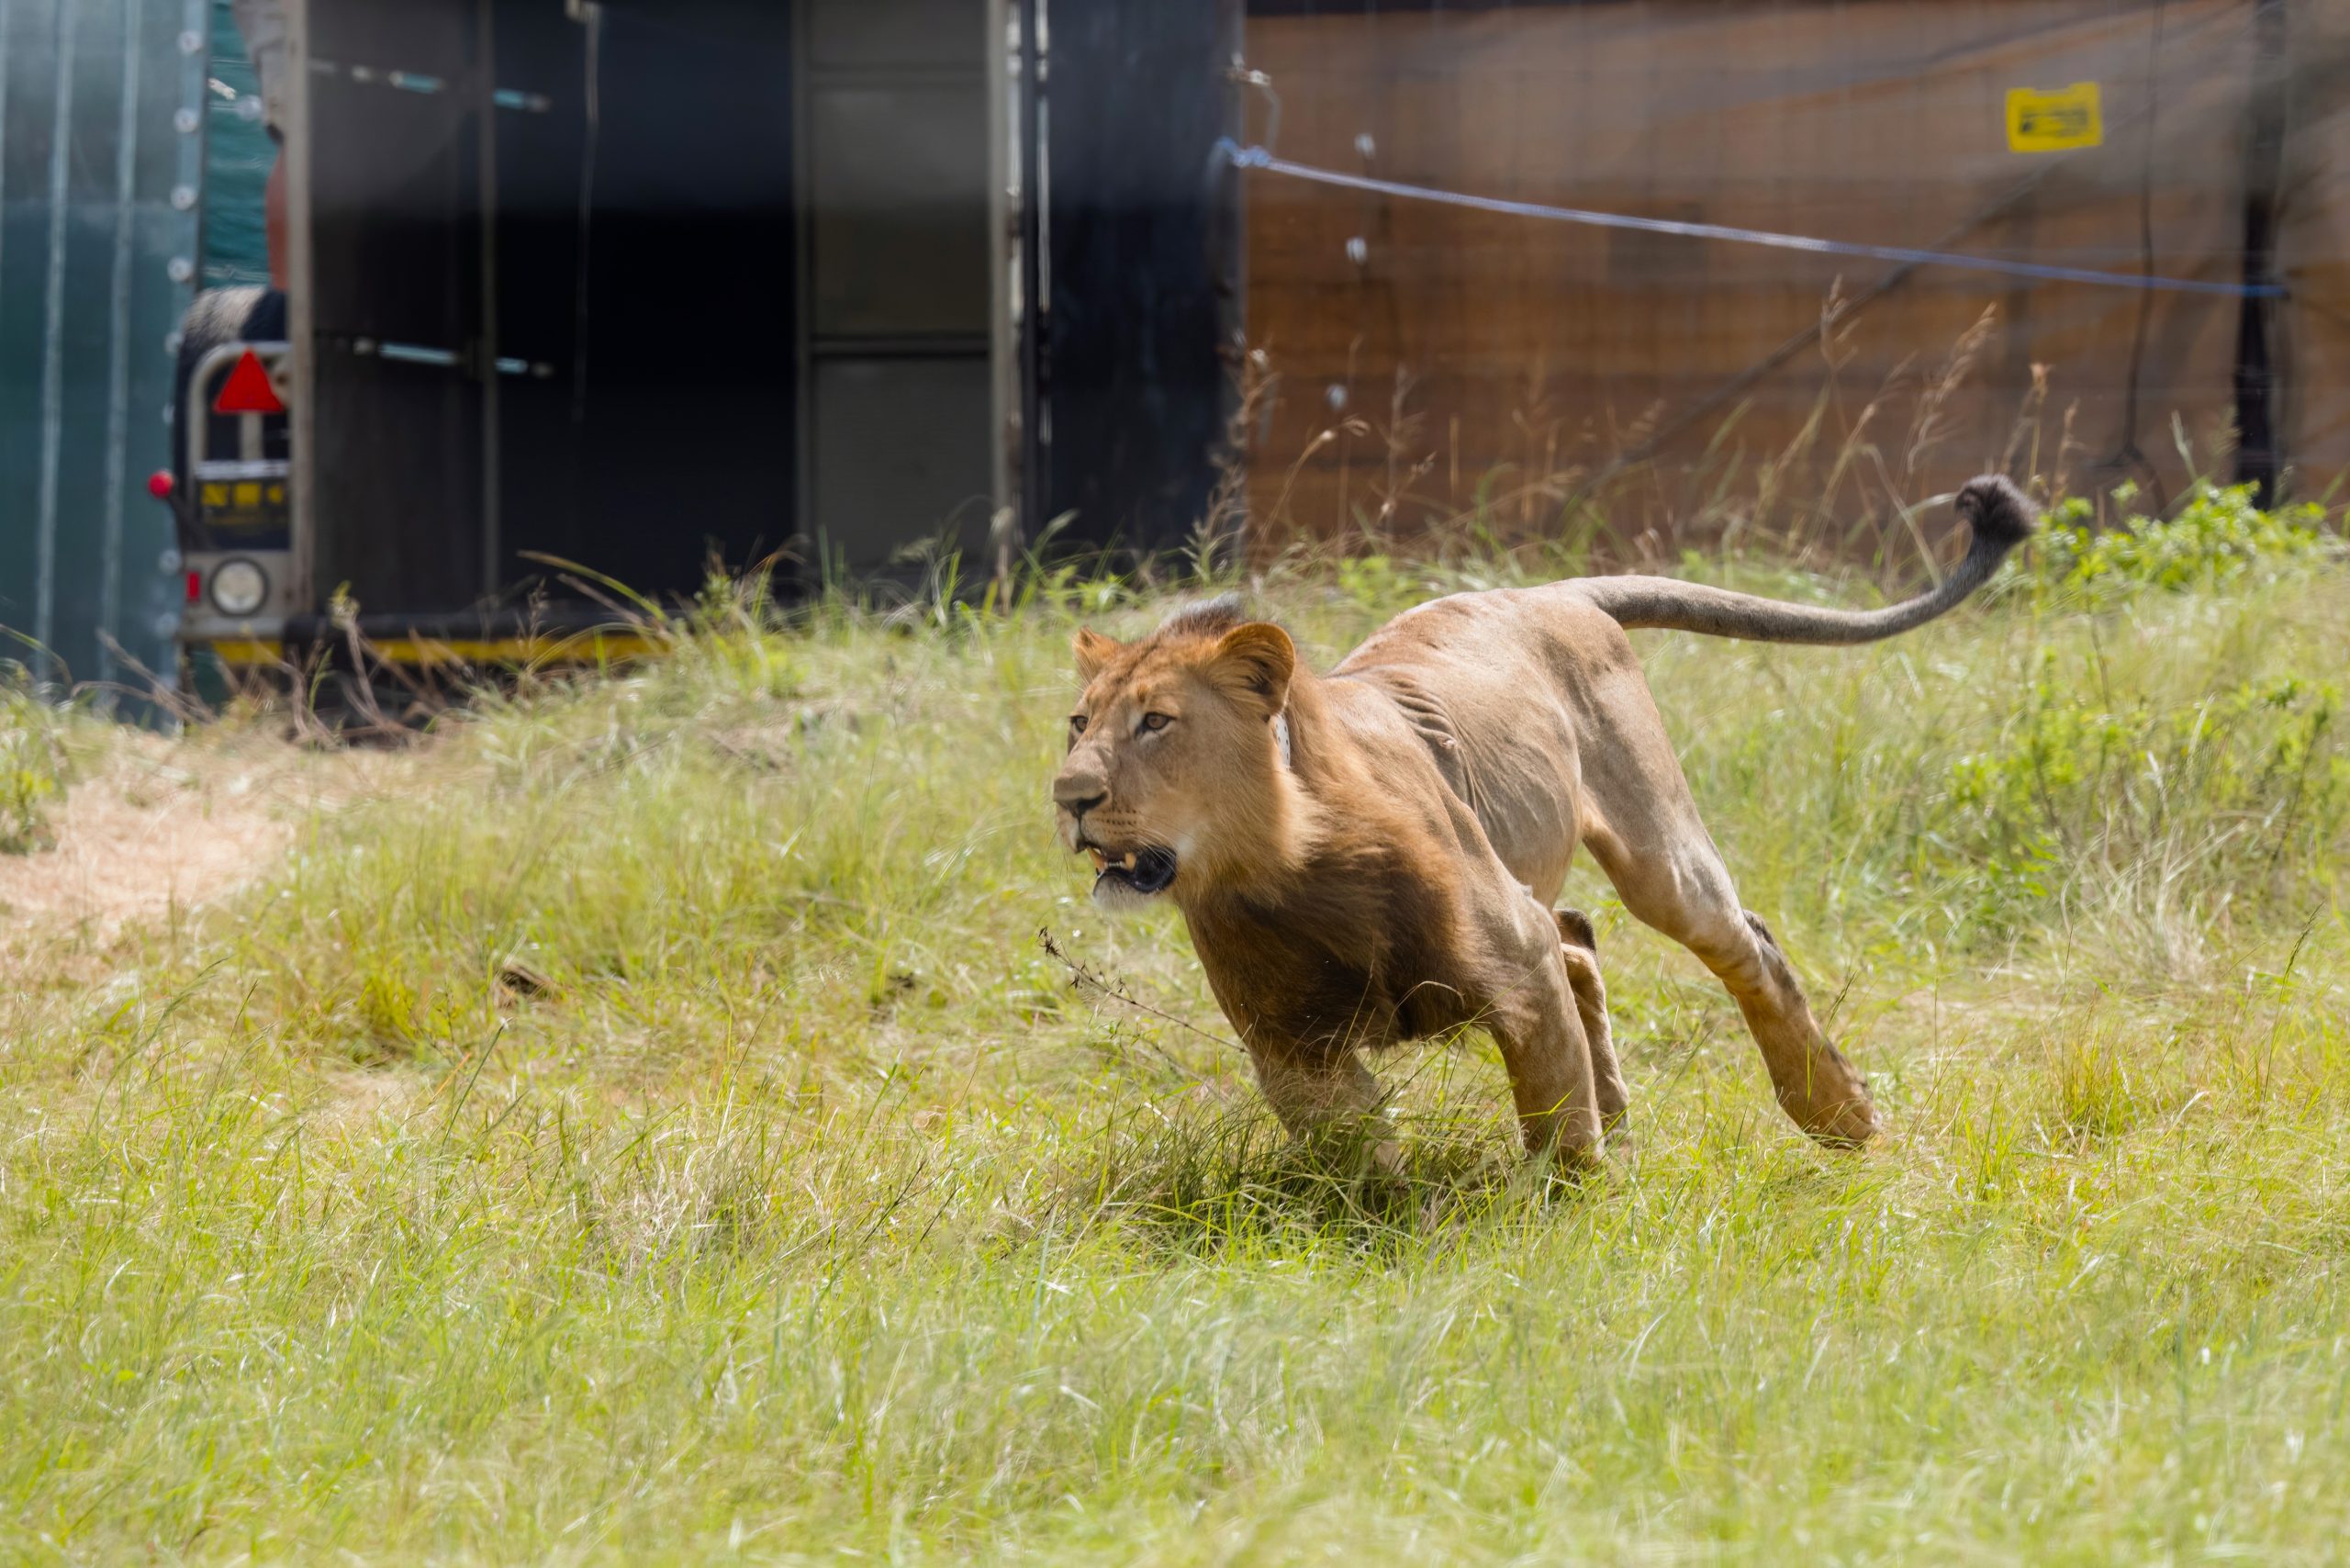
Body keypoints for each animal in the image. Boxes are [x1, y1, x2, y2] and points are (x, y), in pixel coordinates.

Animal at [1053, 476, 2036, 1168]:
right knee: (1582, 941)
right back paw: (1638, 1127)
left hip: (1658, 856)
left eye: (1156, 723)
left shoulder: (1511, 953)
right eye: (1079, 721)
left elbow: (1557, 1113)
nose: (1069, 796)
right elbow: (1359, 1156)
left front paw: (1572, 1208)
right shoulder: (1287, 1043)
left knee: (1736, 941)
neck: (1280, 873)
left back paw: (1839, 1117)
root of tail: (1545, 591)